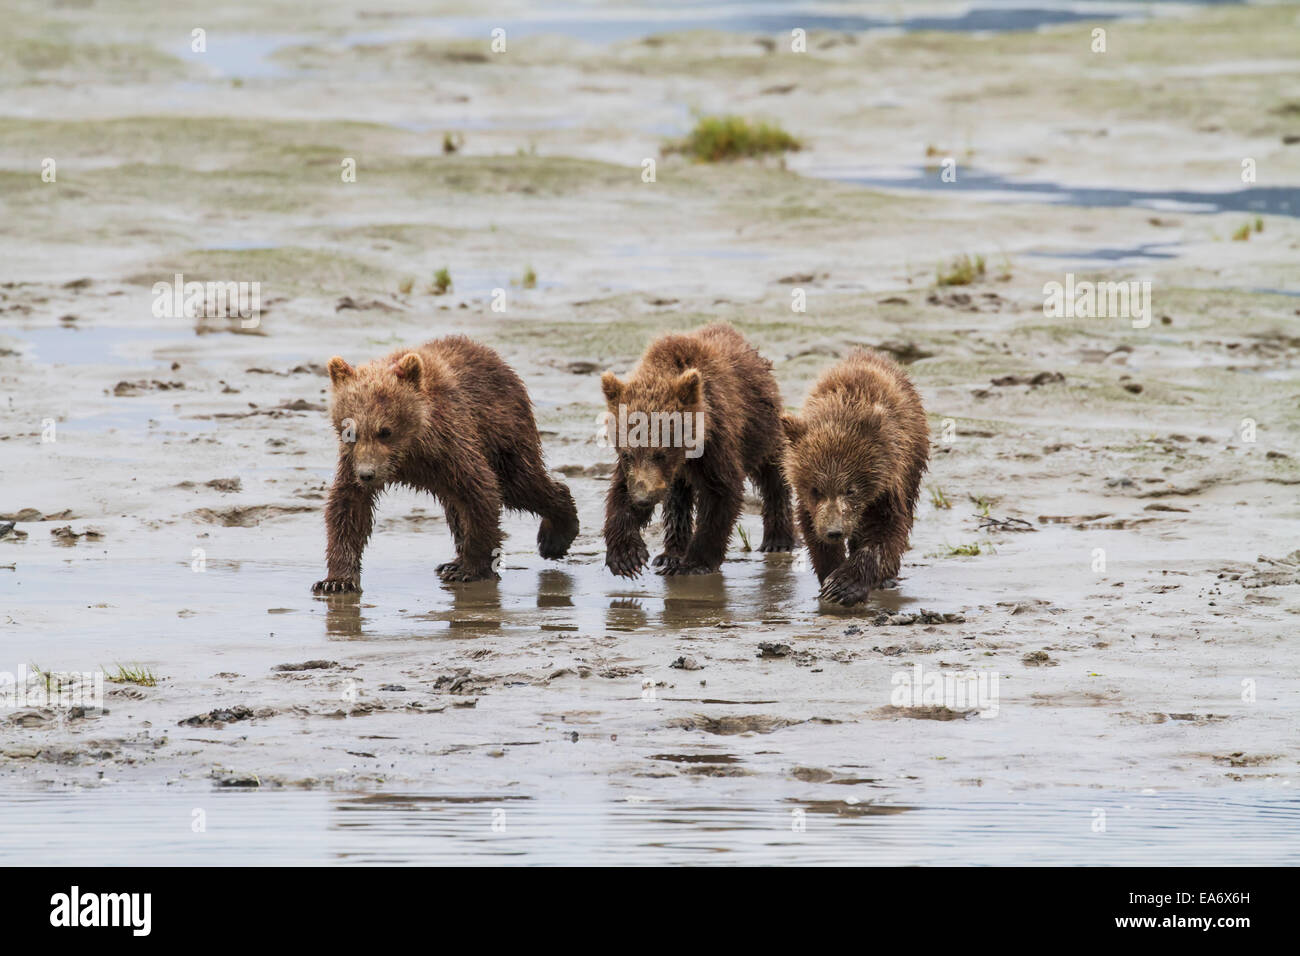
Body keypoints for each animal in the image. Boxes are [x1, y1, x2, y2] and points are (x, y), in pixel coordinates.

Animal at [312, 336, 578, 593]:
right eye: (350, 431)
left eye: (385, 431)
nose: (367, 474)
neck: (409, 454)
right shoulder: (352, 460)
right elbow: (348, 508)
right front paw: (336, 581)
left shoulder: (450, 444)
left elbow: (480, 492)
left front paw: (471, 570)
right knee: (456, 506)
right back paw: (453, 562)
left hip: (503, 432)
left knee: (521, 485)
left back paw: (555, 538)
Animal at [600, 322, 795, 577]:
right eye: (626, 454)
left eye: (661, 453)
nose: (642, 500)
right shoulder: (636, 470)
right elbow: (621, 492)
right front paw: (626, 556)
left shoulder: (716, 441)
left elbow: (720, 492)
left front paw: (693, 563)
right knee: (677, 499)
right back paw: (670, 553)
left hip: (761, 427)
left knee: (773, 473)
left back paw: (778, 540)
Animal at [781, 349, 929, 606]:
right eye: (815, 489)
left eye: (851, 489)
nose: (834, 531)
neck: (841, 413)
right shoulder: (810, 504)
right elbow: (812, 530)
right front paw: (830, 575)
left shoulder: (887, 485)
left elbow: (885, 531)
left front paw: (844, 585)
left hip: (914, 459)